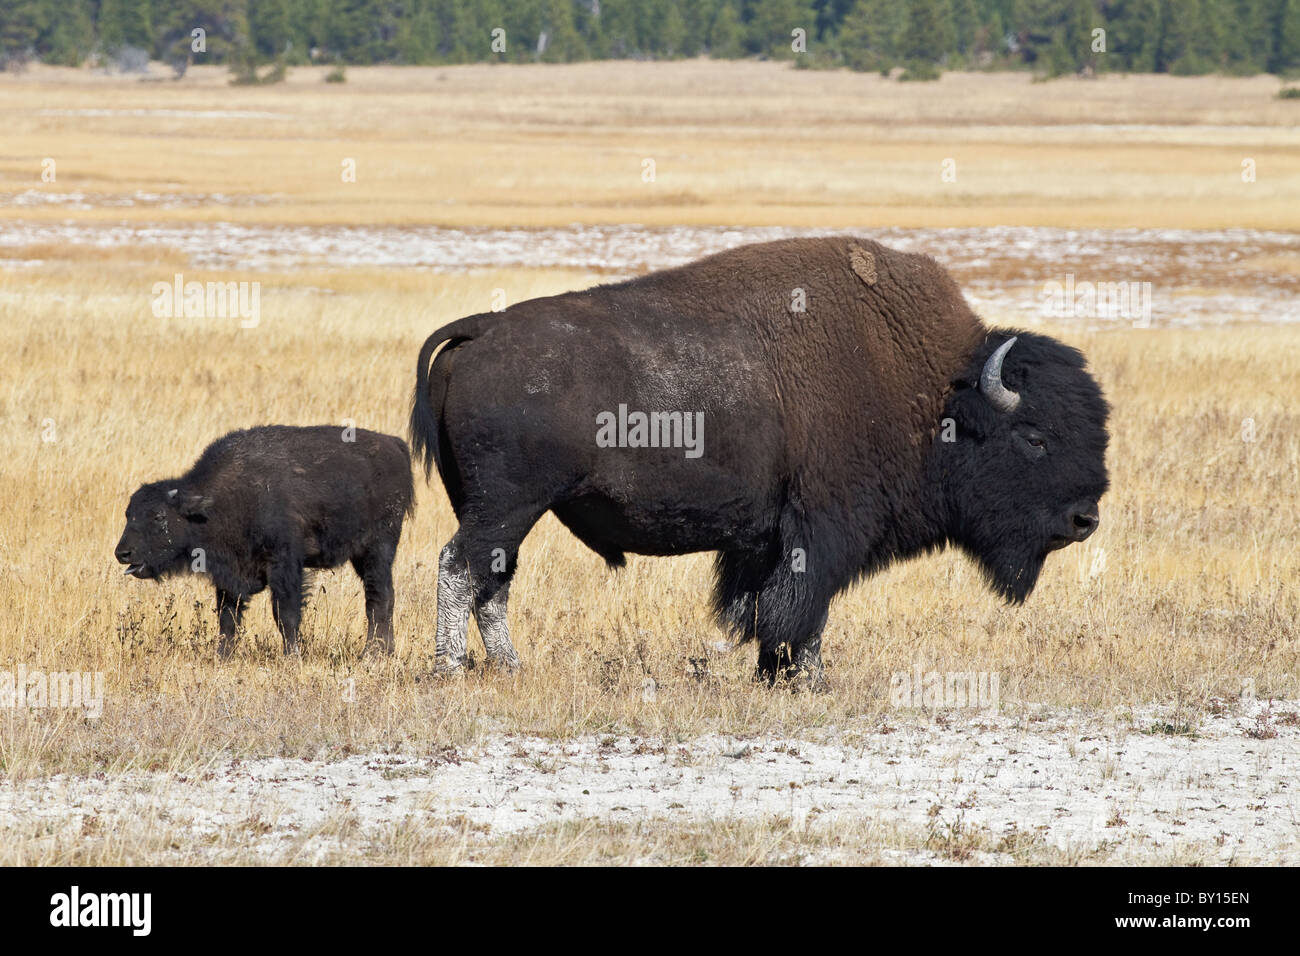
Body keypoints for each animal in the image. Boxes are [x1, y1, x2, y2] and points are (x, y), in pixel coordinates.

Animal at [115, 425, 414, 657]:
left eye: (158, 516)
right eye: (128, 514)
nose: (123, 553)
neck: (212, 502)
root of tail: (396, 446)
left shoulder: (284, 565)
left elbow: (285, 615)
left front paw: (292, 656)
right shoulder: (229, 575)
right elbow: (227, 618)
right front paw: (223, 656)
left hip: (376, 550)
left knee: (378, 598)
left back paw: (373, 653)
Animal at [409, 237, 1109, 689]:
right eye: (1035, 438)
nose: (1085, 520)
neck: (939, 393)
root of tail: (483, 330)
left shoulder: (771, 540)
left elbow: (777, 606)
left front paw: (781, 674)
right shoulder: (822, 531)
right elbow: (802, 606)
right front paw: (807, 680)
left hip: (504, 511)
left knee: (493, 577)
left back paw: (510, 669)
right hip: (506, 506)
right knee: (461, 566)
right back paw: (450, 670)